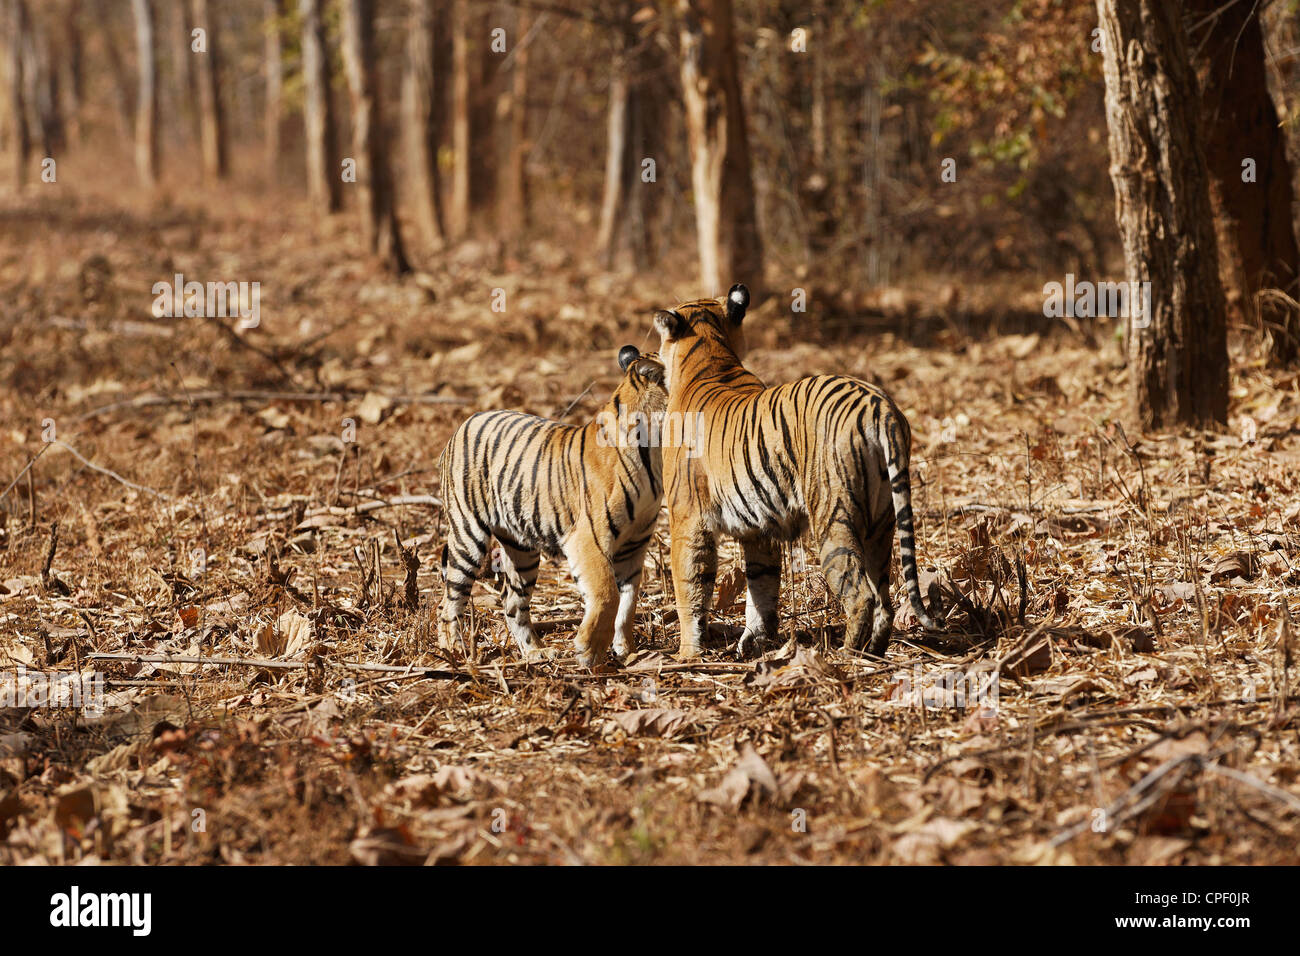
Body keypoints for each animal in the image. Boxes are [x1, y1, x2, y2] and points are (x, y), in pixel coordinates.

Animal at [437, 345, 668, 667]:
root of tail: (464, 423)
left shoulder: (635, 543)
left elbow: (629, 599)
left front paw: (627, 650)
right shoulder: (588, 538)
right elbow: (606, 593)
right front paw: (588, 650)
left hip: (521, 549)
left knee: (512, 602)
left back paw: (535, 652)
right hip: (468, 535)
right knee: (450, 601)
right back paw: (455, 652)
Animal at [650, 283, 940, 659]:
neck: (711, 353)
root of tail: (881, 406)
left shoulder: (687, 520)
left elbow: (690, 589)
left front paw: (687, 653)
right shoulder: (758, 529)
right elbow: (762, 586)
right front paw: (755, 643)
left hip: (834, 518)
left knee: (861, 594)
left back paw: (846, 655)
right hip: (882, 521)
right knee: (884, 595)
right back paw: (873, 652)